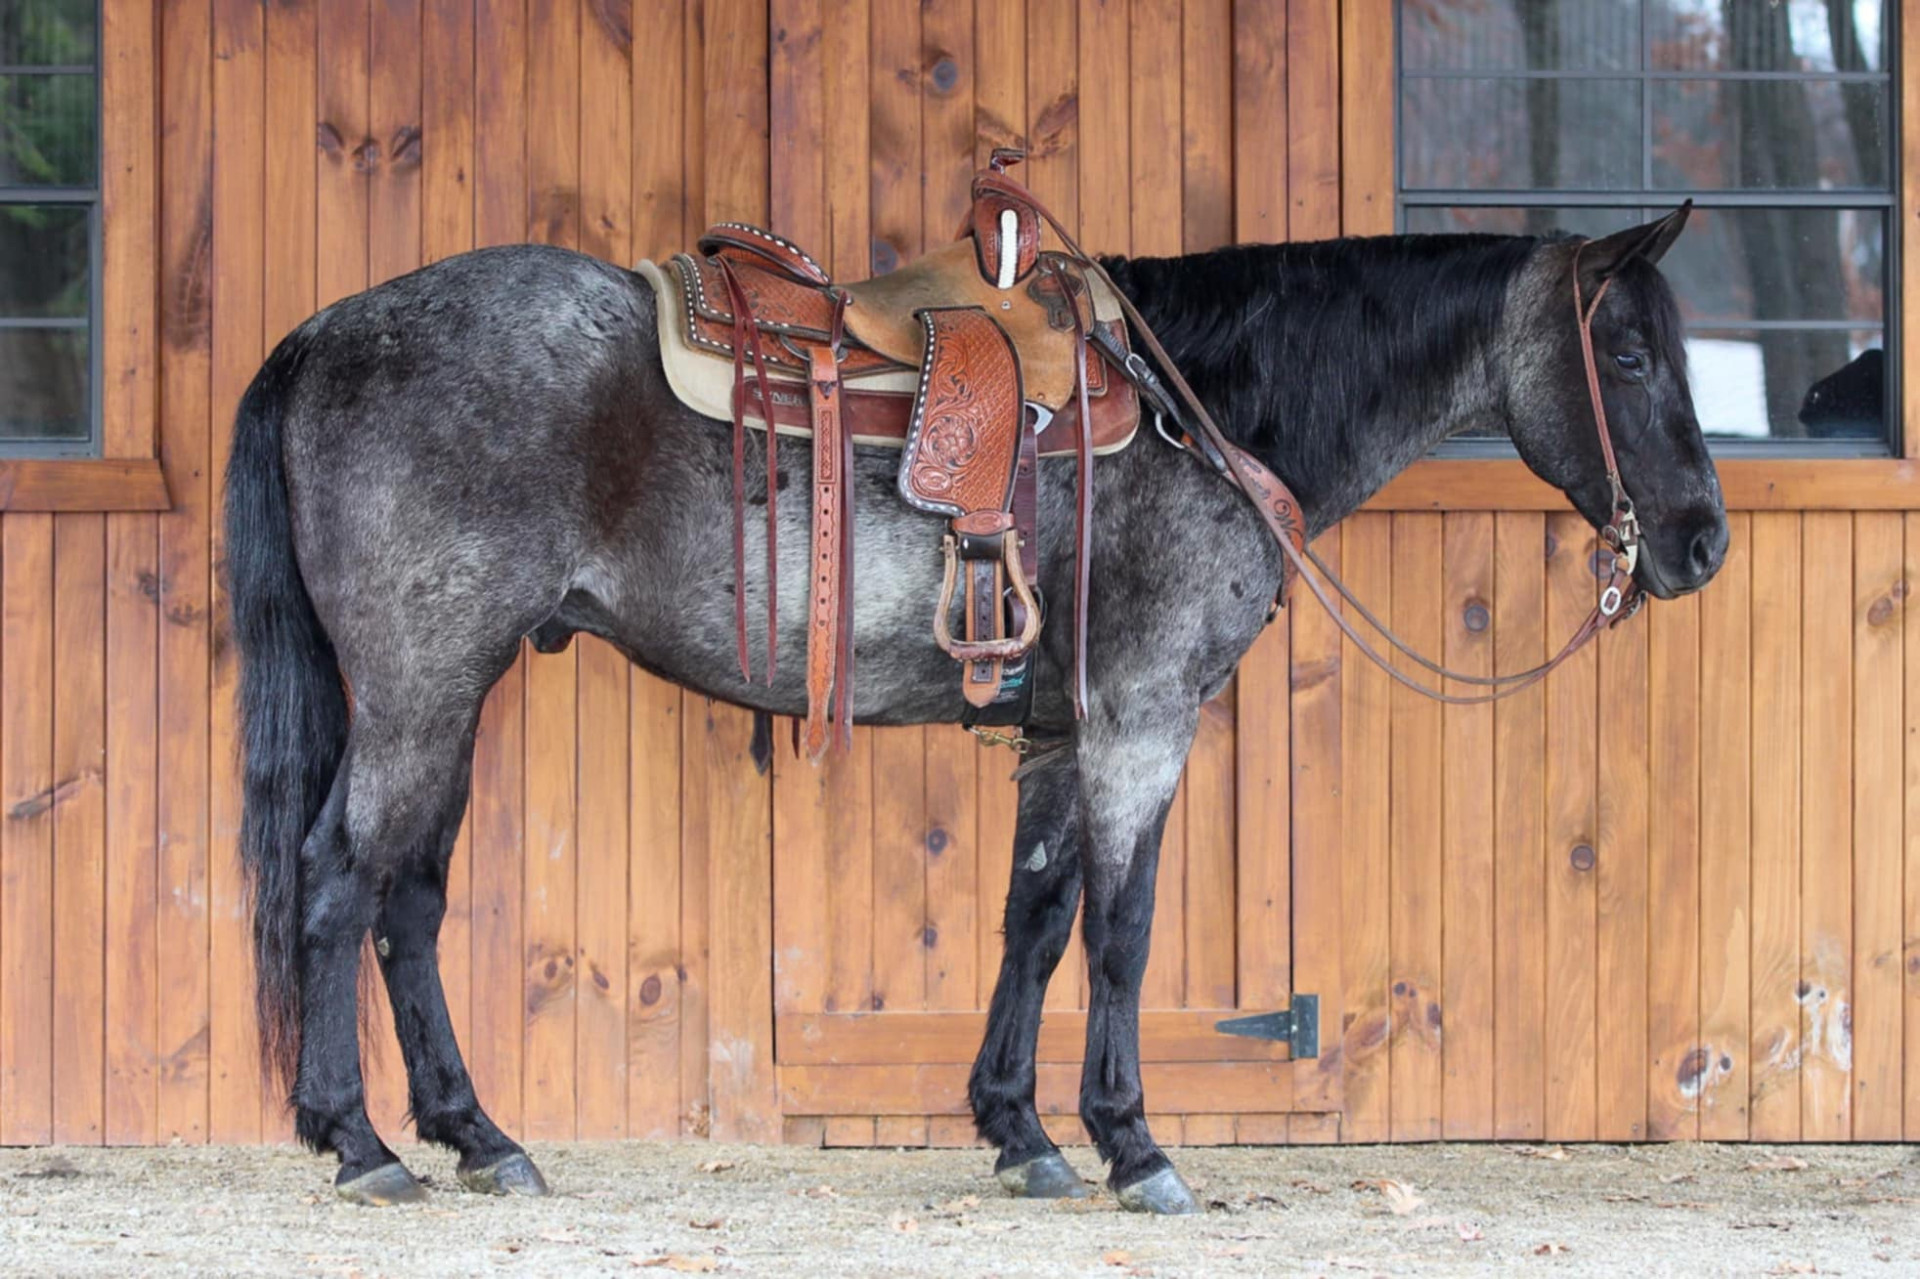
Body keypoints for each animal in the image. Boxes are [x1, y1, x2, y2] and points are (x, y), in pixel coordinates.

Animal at [225, 205, 1727, 1212]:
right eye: (1628, 354)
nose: (1701, 542)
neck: (1202, 407)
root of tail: (323, 333)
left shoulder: (1062, 733)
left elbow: (1037, 914)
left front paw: (1020, 1128)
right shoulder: (1140, 720)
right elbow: (1120, 931)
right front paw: (1133, 1141)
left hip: (450, 694)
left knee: (409, 901)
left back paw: (478, 1136)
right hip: (420, 688)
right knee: (338, 881)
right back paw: (358, 1142)